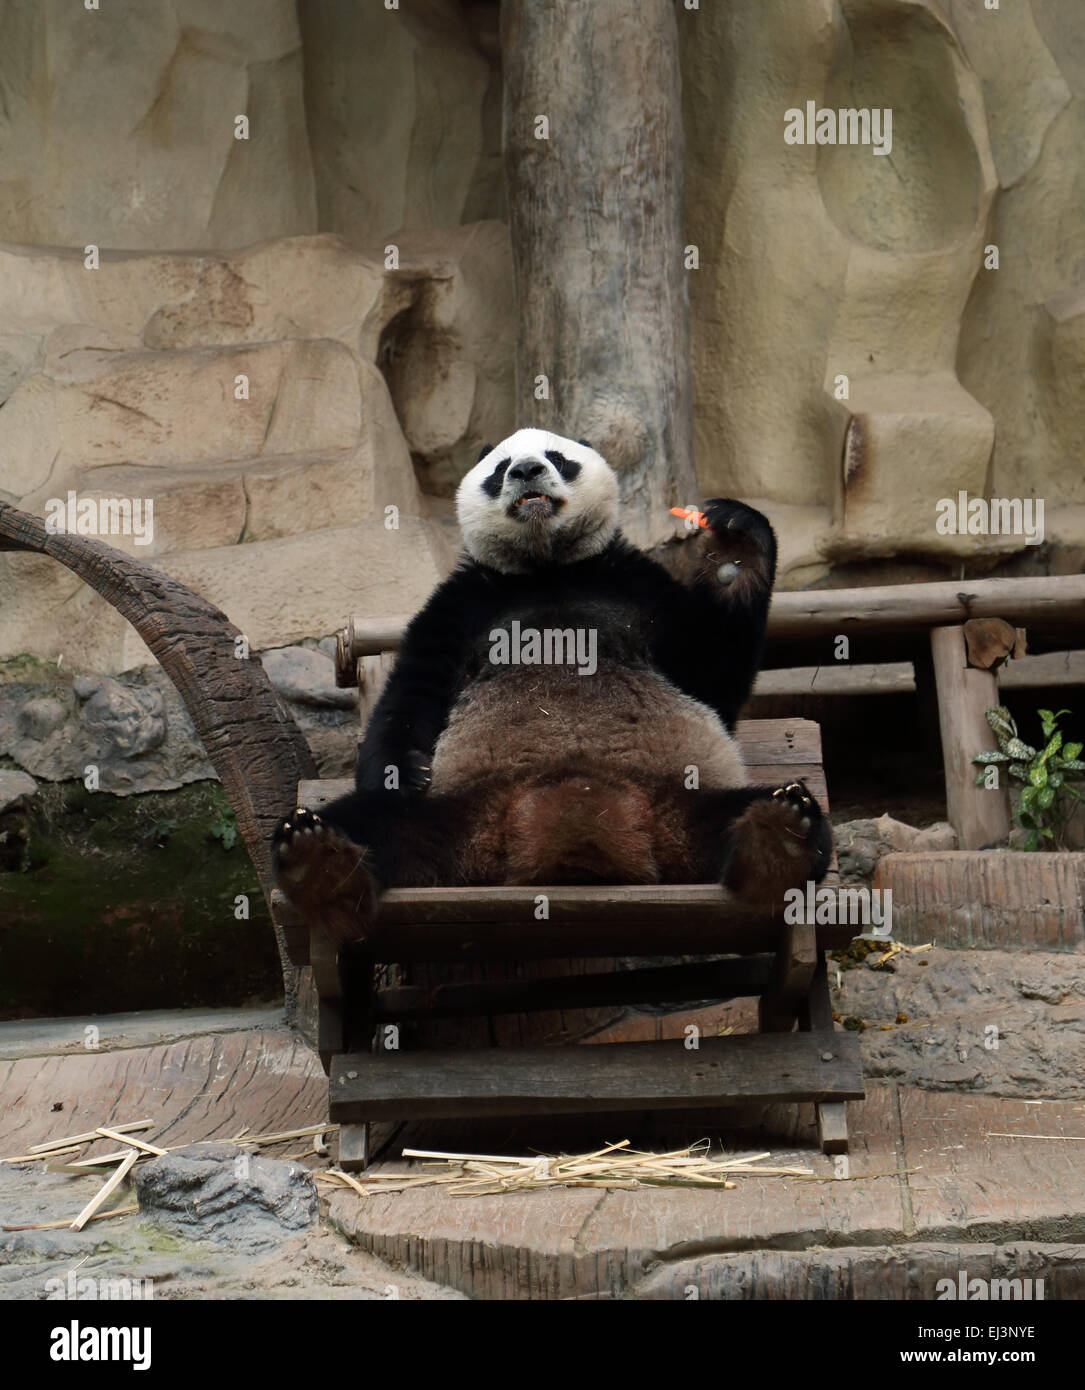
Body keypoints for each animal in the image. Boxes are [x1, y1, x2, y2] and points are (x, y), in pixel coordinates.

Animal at [273, 428, 831, 943]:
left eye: (557, 457)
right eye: (501, 467)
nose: (526, 472)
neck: (546, 568)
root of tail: (564, 831)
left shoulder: (637, 586)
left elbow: (712, 676)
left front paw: (733, 542)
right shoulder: (460, 604)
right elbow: (412, 693)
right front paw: (406, 769)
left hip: (681, 802)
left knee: (785, 821)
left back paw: (777, 842)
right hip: (457, 815)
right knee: (375, 823)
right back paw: (316, 862)